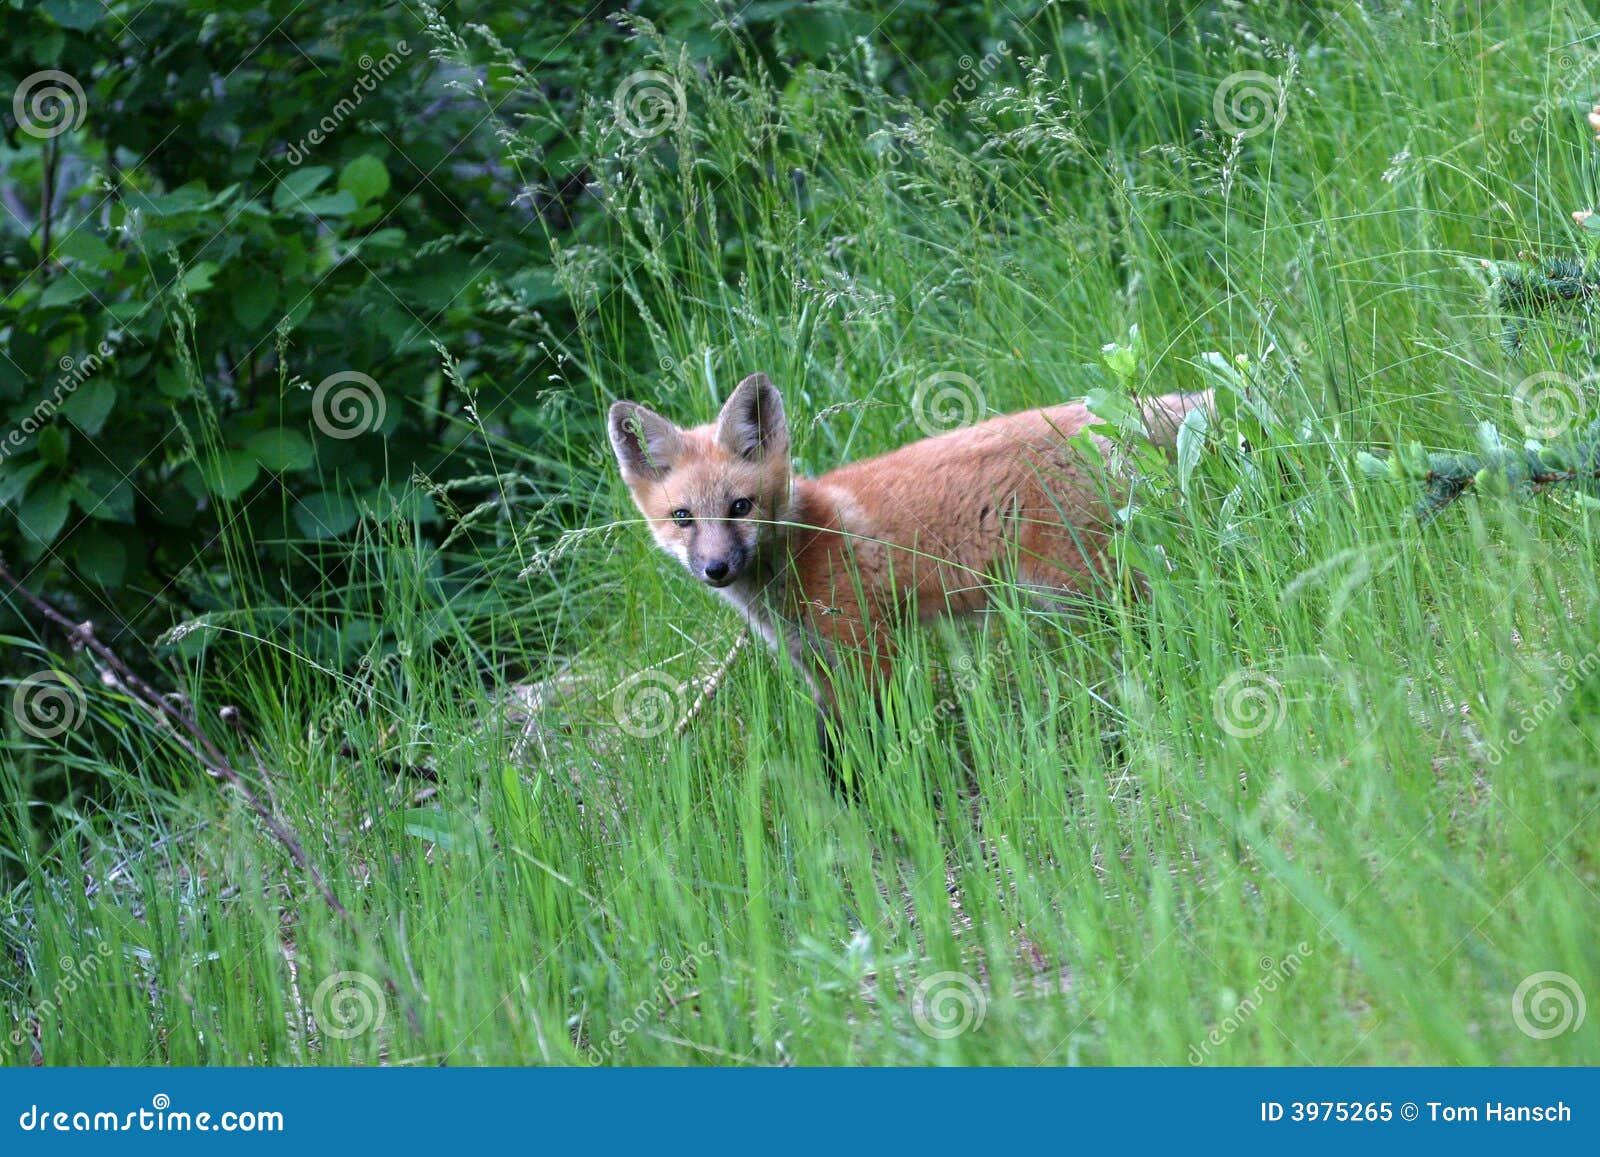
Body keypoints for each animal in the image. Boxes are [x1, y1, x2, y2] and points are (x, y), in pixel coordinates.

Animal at [608, 372, 1209, 772]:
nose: (716, 569)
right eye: (682, 518)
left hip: (1086, 587)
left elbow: (874, 738)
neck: (803, 549)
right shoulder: (817, 667)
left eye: (740, 506)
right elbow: (834, 744)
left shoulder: (870, 650)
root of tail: (1102, 410)